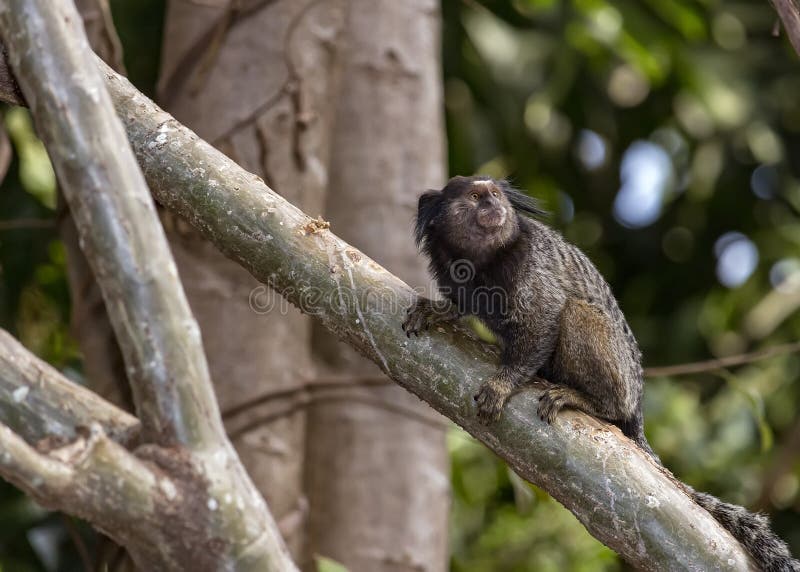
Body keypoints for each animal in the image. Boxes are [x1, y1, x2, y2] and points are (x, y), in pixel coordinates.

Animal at [402, 175, 799, 572]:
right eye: (475, 197)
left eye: (495, 195)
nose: (494, 207)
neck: (482, 258)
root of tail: (637, 403)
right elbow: (459, 303)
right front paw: (437, 310)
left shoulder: (530, 267)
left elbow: (545, 318)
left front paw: (503, 384)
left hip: (618, 373)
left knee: (577, 313)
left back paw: (589, 401)